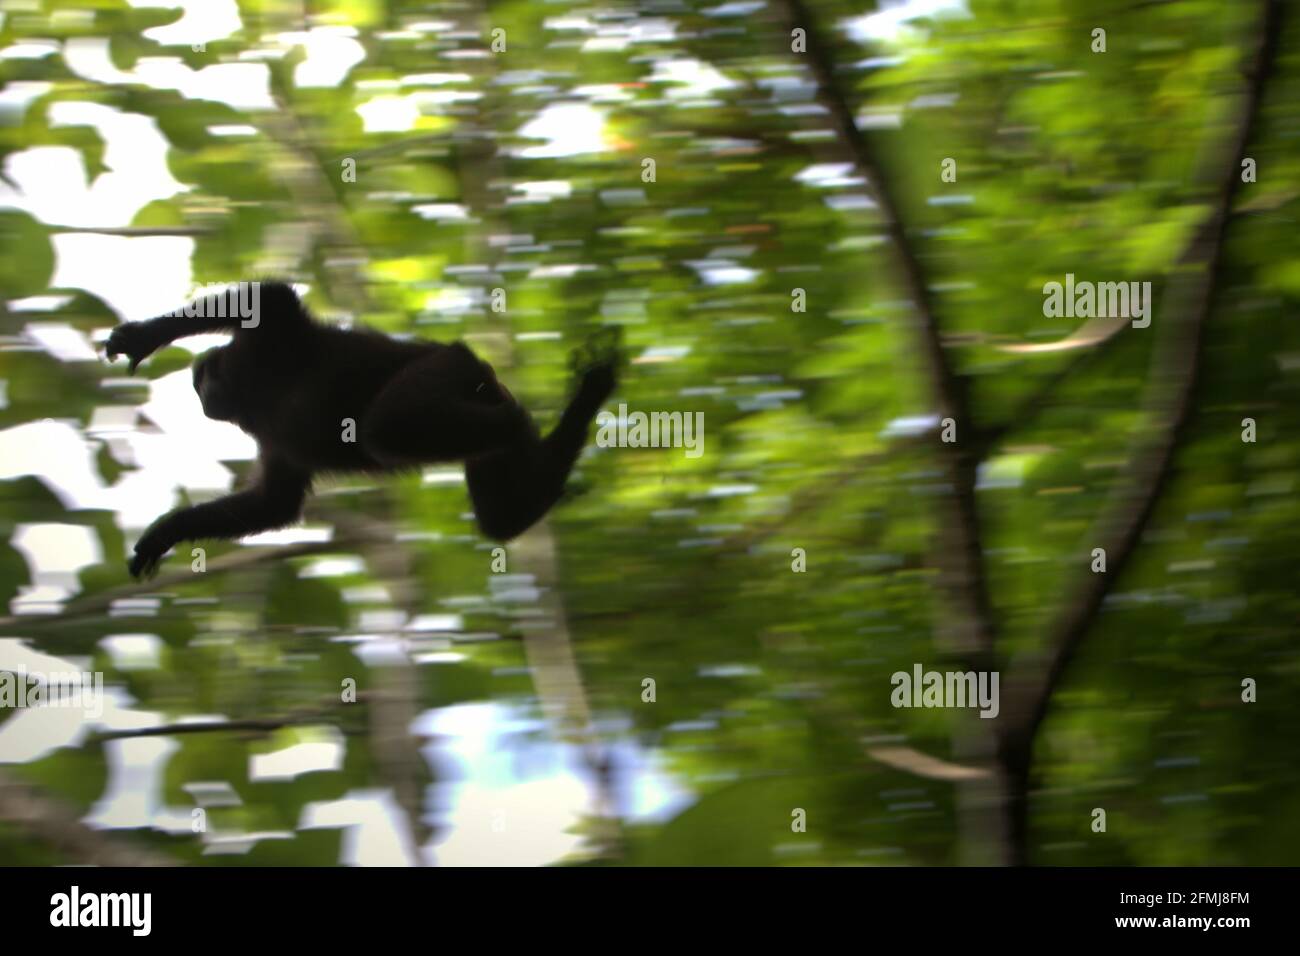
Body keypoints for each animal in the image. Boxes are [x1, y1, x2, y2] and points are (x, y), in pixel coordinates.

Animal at [103, 282, 619, 579]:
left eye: (203, 382)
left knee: (385, 428)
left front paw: (145, 337)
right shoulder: (272, 437)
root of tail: (485, 376)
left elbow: (271, 299)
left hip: (444, 367)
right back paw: (559, 446)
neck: (256, 392)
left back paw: (536, 420)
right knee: (499, 518)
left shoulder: (268, 343)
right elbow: (274, 503)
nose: (203, 396)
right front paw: (165, 532)